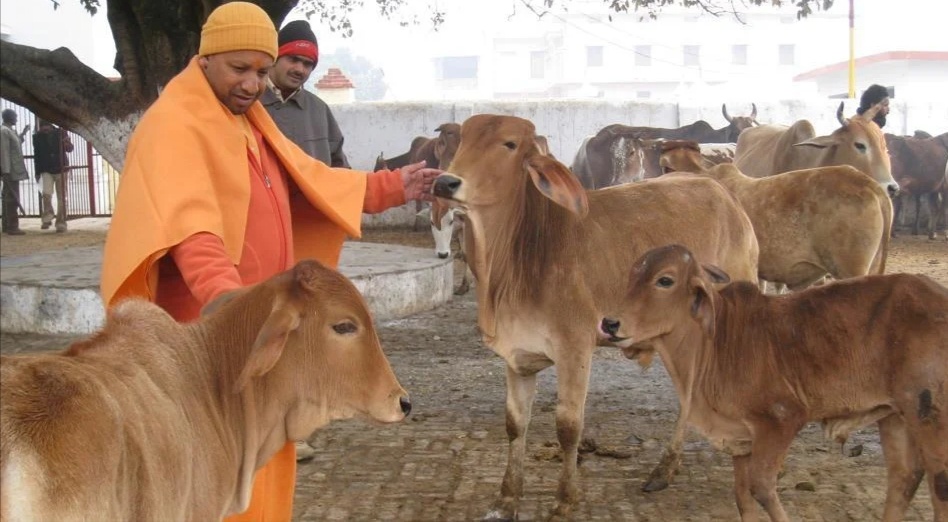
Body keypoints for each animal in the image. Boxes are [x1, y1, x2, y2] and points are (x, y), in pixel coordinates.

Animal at [432, 114, 760, 519]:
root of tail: (723, 193)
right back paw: (665, 469)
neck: (520, 256)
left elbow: (568, 427)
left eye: (509, 144)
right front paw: (507, 498)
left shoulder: (575, 348)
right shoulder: (517, 356)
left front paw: (565, 500)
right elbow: (515, 424)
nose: (445, 182)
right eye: (461, 140)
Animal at [599, 244, 948, 522]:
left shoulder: (780, 420)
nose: (610, 323)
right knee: (904, 478)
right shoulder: (741, 439)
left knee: (939, 485)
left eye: (665, 280)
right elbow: (743, 497)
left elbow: (762, 488)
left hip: (929, 415)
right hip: (895, 416)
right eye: (632, 276)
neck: (714, 342)